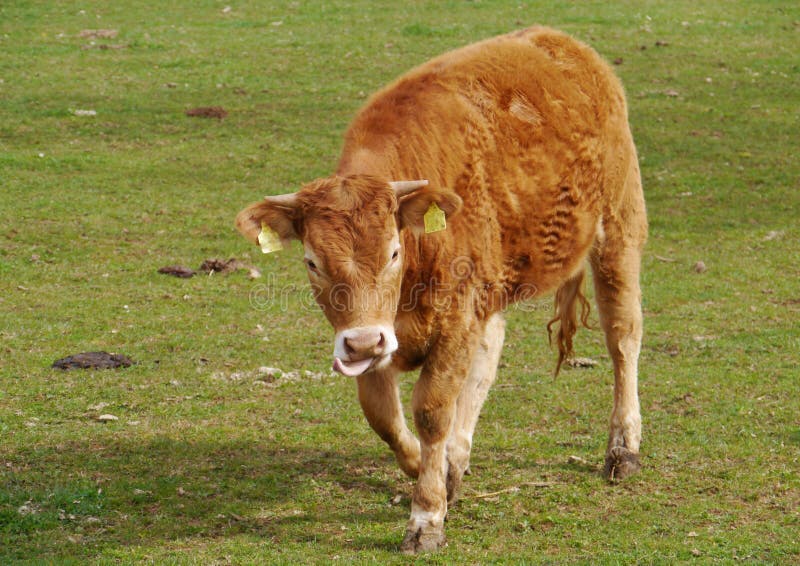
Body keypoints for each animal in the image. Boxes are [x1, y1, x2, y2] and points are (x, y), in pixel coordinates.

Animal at [235, 26, 647, 553]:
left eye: (393, 252)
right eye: (312, 262)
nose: (364, 342)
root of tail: (562, 44)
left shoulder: (453, 320)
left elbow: (432, 410)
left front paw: (426, 516)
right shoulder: (381, 337)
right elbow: (384, 415)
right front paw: (428, 470)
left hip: (618, 229)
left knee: (623, 336)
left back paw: (623, 448)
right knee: (489, 354)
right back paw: (457, 458)